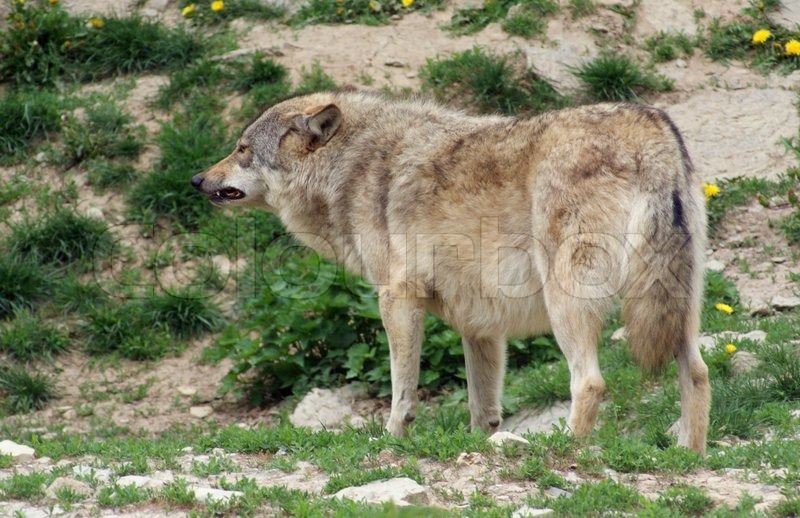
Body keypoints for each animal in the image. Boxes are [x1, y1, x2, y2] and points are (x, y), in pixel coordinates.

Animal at [191, 90, 710, 454]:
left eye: (241, 149)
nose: (196, 180)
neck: (352, 166)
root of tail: (653, 127)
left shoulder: (396, 298)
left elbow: (402, 392)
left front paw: (392, 439)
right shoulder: (481, 324)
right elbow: (484, 407)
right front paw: (482, 444)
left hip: (568, 303)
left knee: (591, 382)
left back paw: (564, 449)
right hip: (679, 307)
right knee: (698, 373)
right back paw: (687, 456)